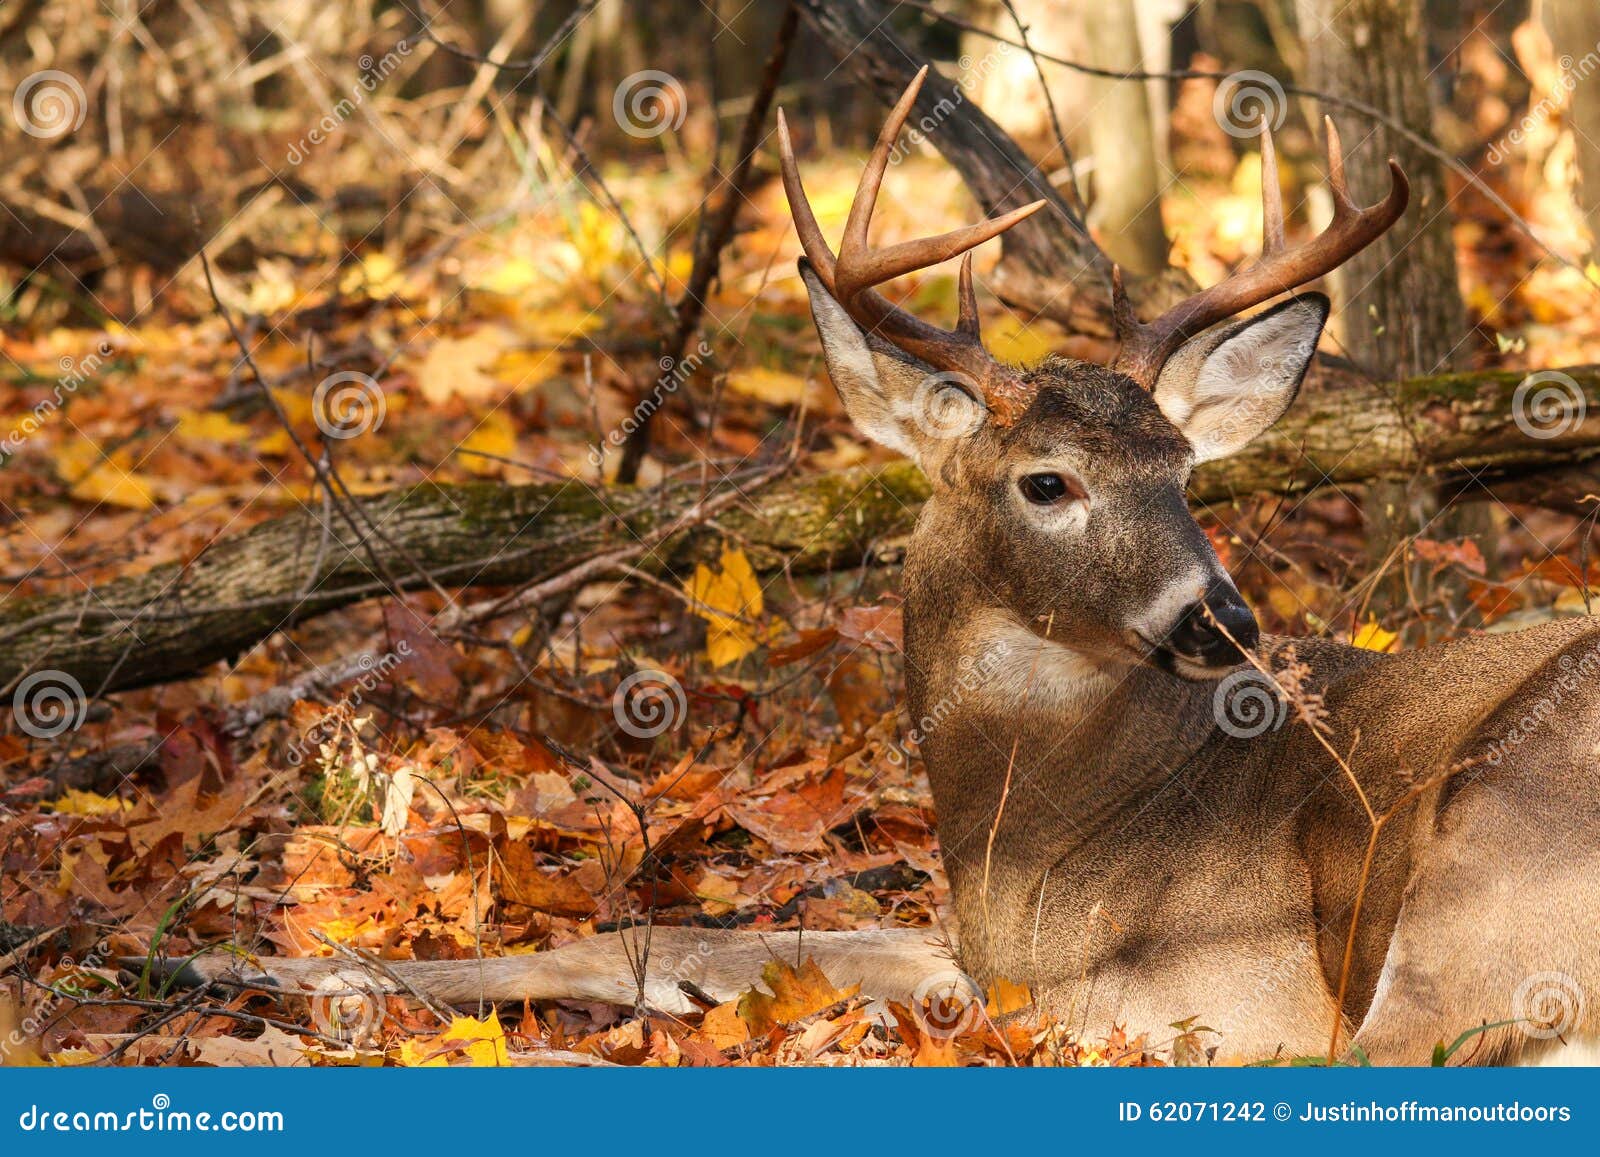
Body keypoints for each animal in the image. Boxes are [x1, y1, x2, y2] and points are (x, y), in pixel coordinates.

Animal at [161, 69, 1598, 1066]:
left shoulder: (1187, 992)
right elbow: (669, 935)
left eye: (1184, 472)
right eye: (1049, 481)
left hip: (1479, 847)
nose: (1222, 619)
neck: (1033, 834)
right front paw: (276, 975)